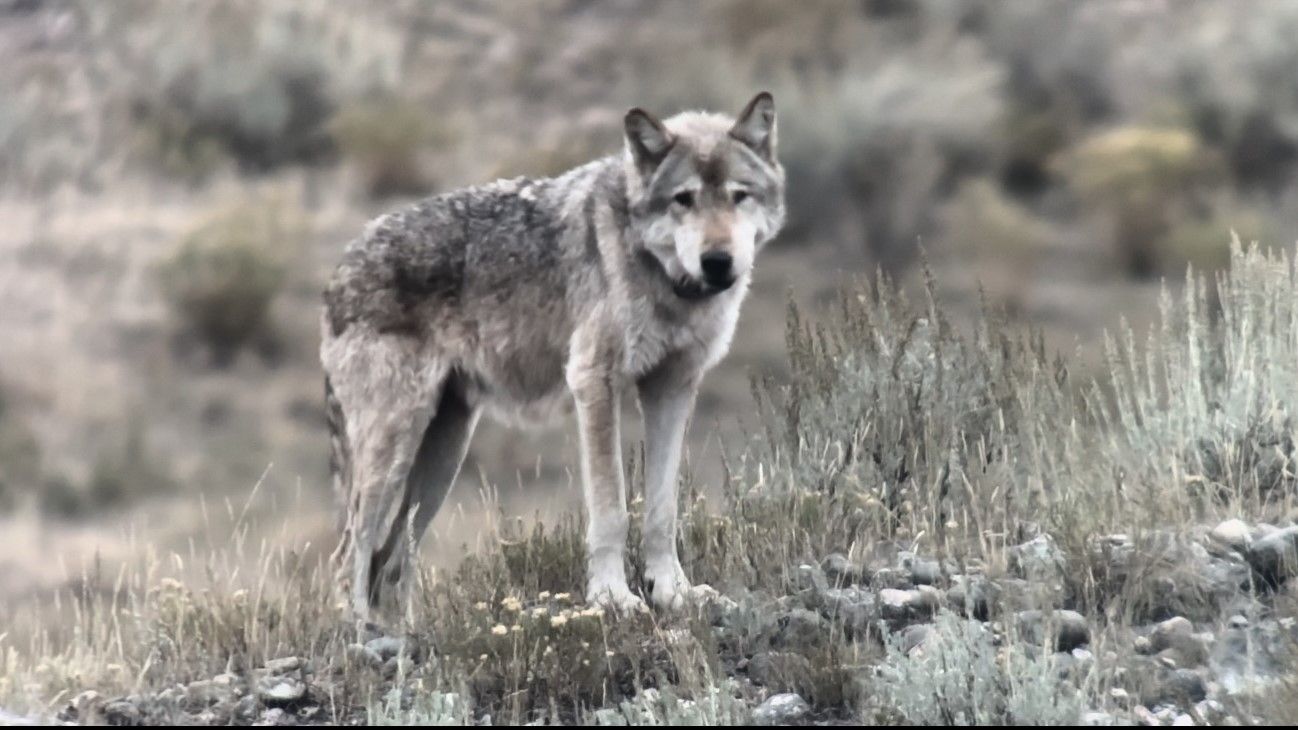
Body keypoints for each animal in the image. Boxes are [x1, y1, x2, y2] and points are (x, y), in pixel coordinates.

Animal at [321, 92, 785, 622]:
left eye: (739, 195)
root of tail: (338, 270)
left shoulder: (673, 386)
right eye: (683, 198)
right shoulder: (594, 381)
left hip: (444, 452)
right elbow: (611, 507)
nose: (718, 261)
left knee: (390, 558)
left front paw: (673, 593)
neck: (664, 279)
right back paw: (360, 630)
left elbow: (663, 510)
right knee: (349, 554)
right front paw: (612, 597)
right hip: (394, 446)